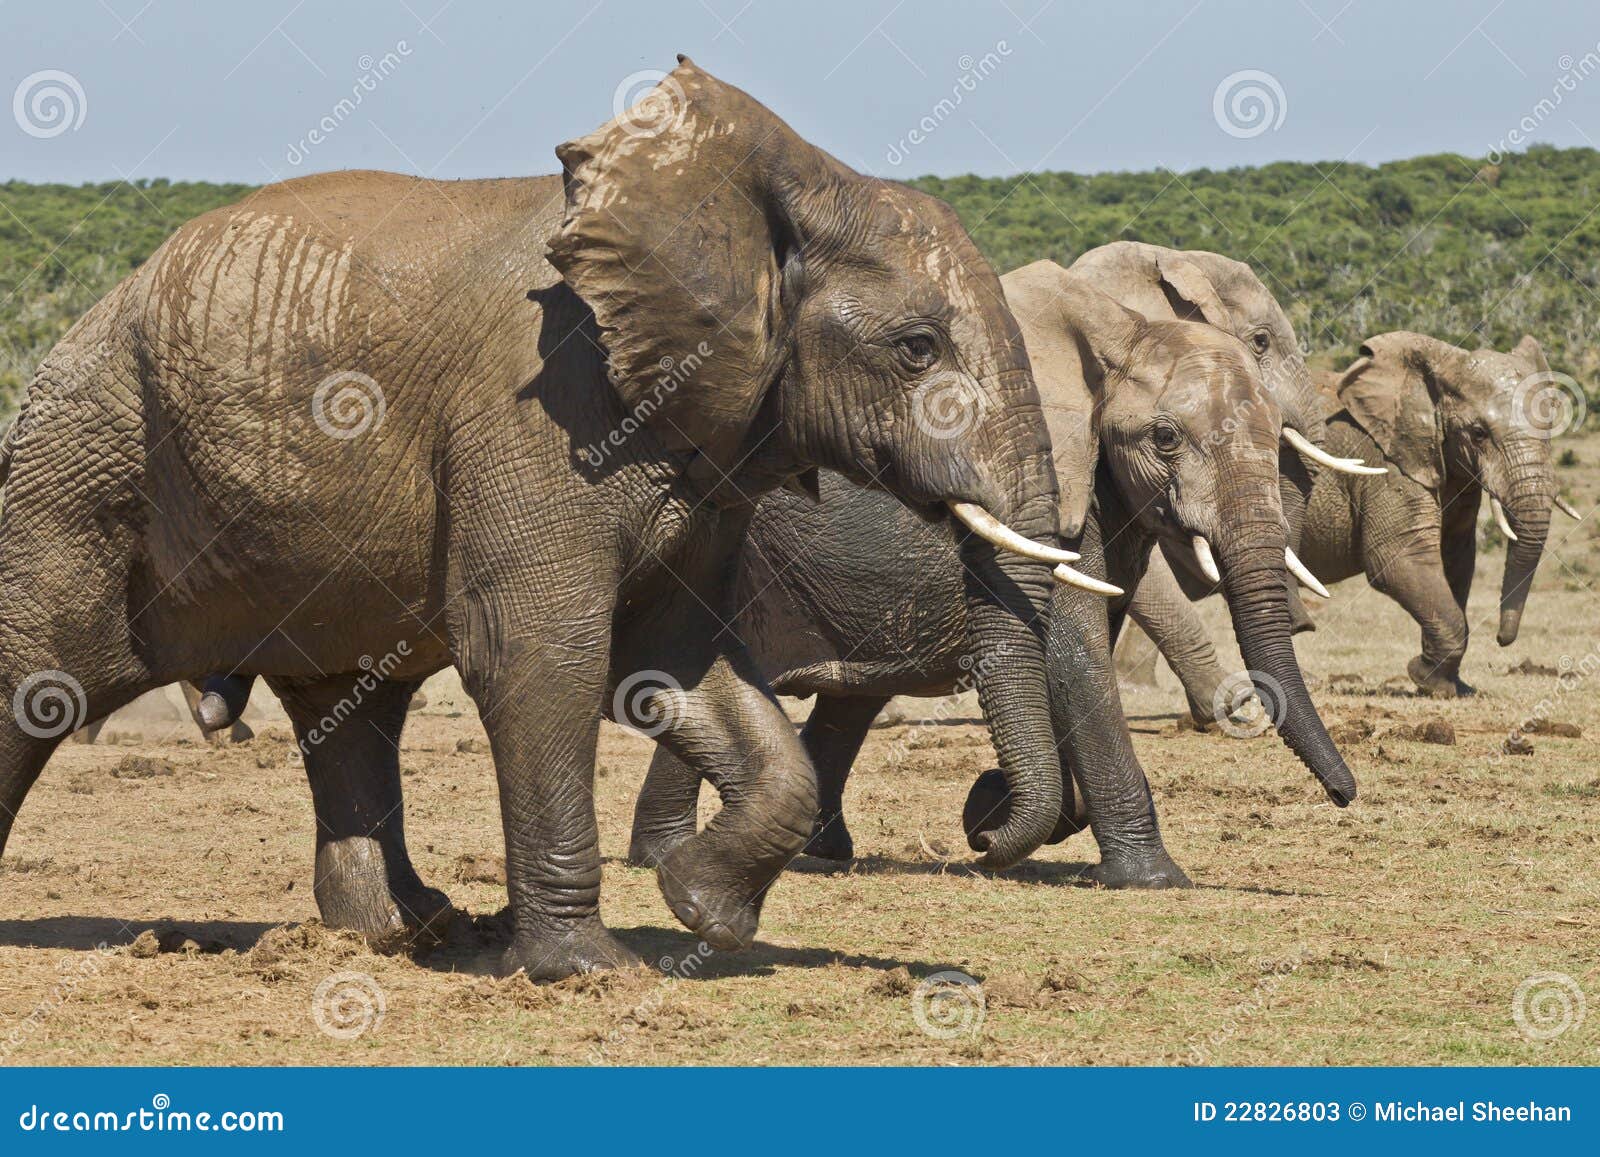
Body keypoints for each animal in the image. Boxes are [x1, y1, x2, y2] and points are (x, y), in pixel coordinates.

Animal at [0, 59, 1089, 980]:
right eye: (916, 348)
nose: (983, 822)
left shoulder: (707, 461)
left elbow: (673, 661)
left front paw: (701, 908)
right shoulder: (541, 412)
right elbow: (543, 654)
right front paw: (590, 970)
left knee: (351, 702)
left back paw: (403, 932)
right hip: (81, 462)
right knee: (41, 682)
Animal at [629, 262, 1358, 888]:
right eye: (1166, 438)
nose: (1345, 794)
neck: (1118, 333)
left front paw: (1004, 807)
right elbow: (1075, 654)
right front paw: (1153, 879)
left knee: (849, 701)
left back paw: (821, 852)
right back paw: (665, 855)